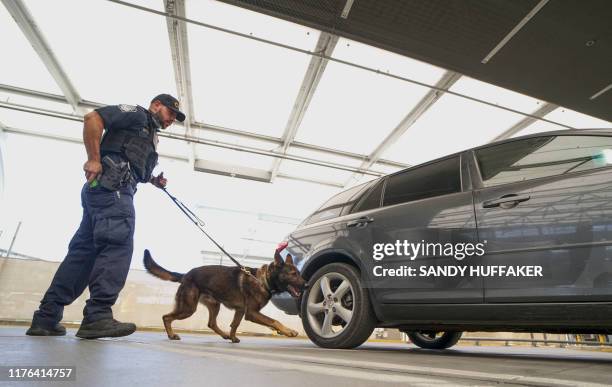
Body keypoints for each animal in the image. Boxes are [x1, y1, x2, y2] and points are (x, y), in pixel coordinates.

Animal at [143, 249, 306, 342]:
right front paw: (289, 331)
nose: (306, 285)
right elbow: (274, 321)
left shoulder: (240, 311)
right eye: (293, 274)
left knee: (211, 323)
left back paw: (225, 335)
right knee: (166, 317)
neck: (263, 280)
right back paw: (171, 335)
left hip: (214, 305)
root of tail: (185, 275)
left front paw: (233, 337)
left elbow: (235, 325)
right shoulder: (252, 313)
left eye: (299, 273)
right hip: (188, 308)